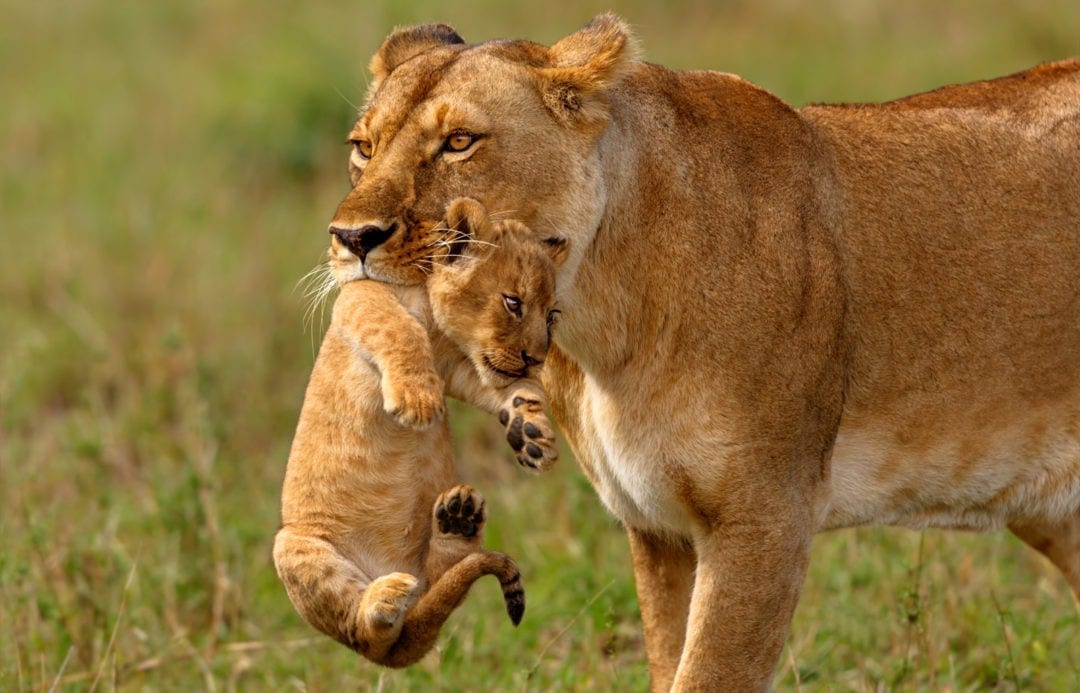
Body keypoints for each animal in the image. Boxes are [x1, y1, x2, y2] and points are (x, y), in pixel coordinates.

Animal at [273, 198, 566, 667]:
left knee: (439, 579)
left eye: (552, 315)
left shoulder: (459, 368)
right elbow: (396, 327)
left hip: (430, 576)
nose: (536, 358)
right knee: (365, 633)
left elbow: (513, 390)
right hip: (293, 547)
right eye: (513, 303)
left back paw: (457, 519)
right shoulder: (358, 297)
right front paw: (417, 402)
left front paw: (531, 434)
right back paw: (383, 600)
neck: (436, 322)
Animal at [324, 15, 1079, 690]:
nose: (352, 237)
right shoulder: (659, 528)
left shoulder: (765, 514)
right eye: (363, 146)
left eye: (459, 142)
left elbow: (709, 673)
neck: (601, 319)